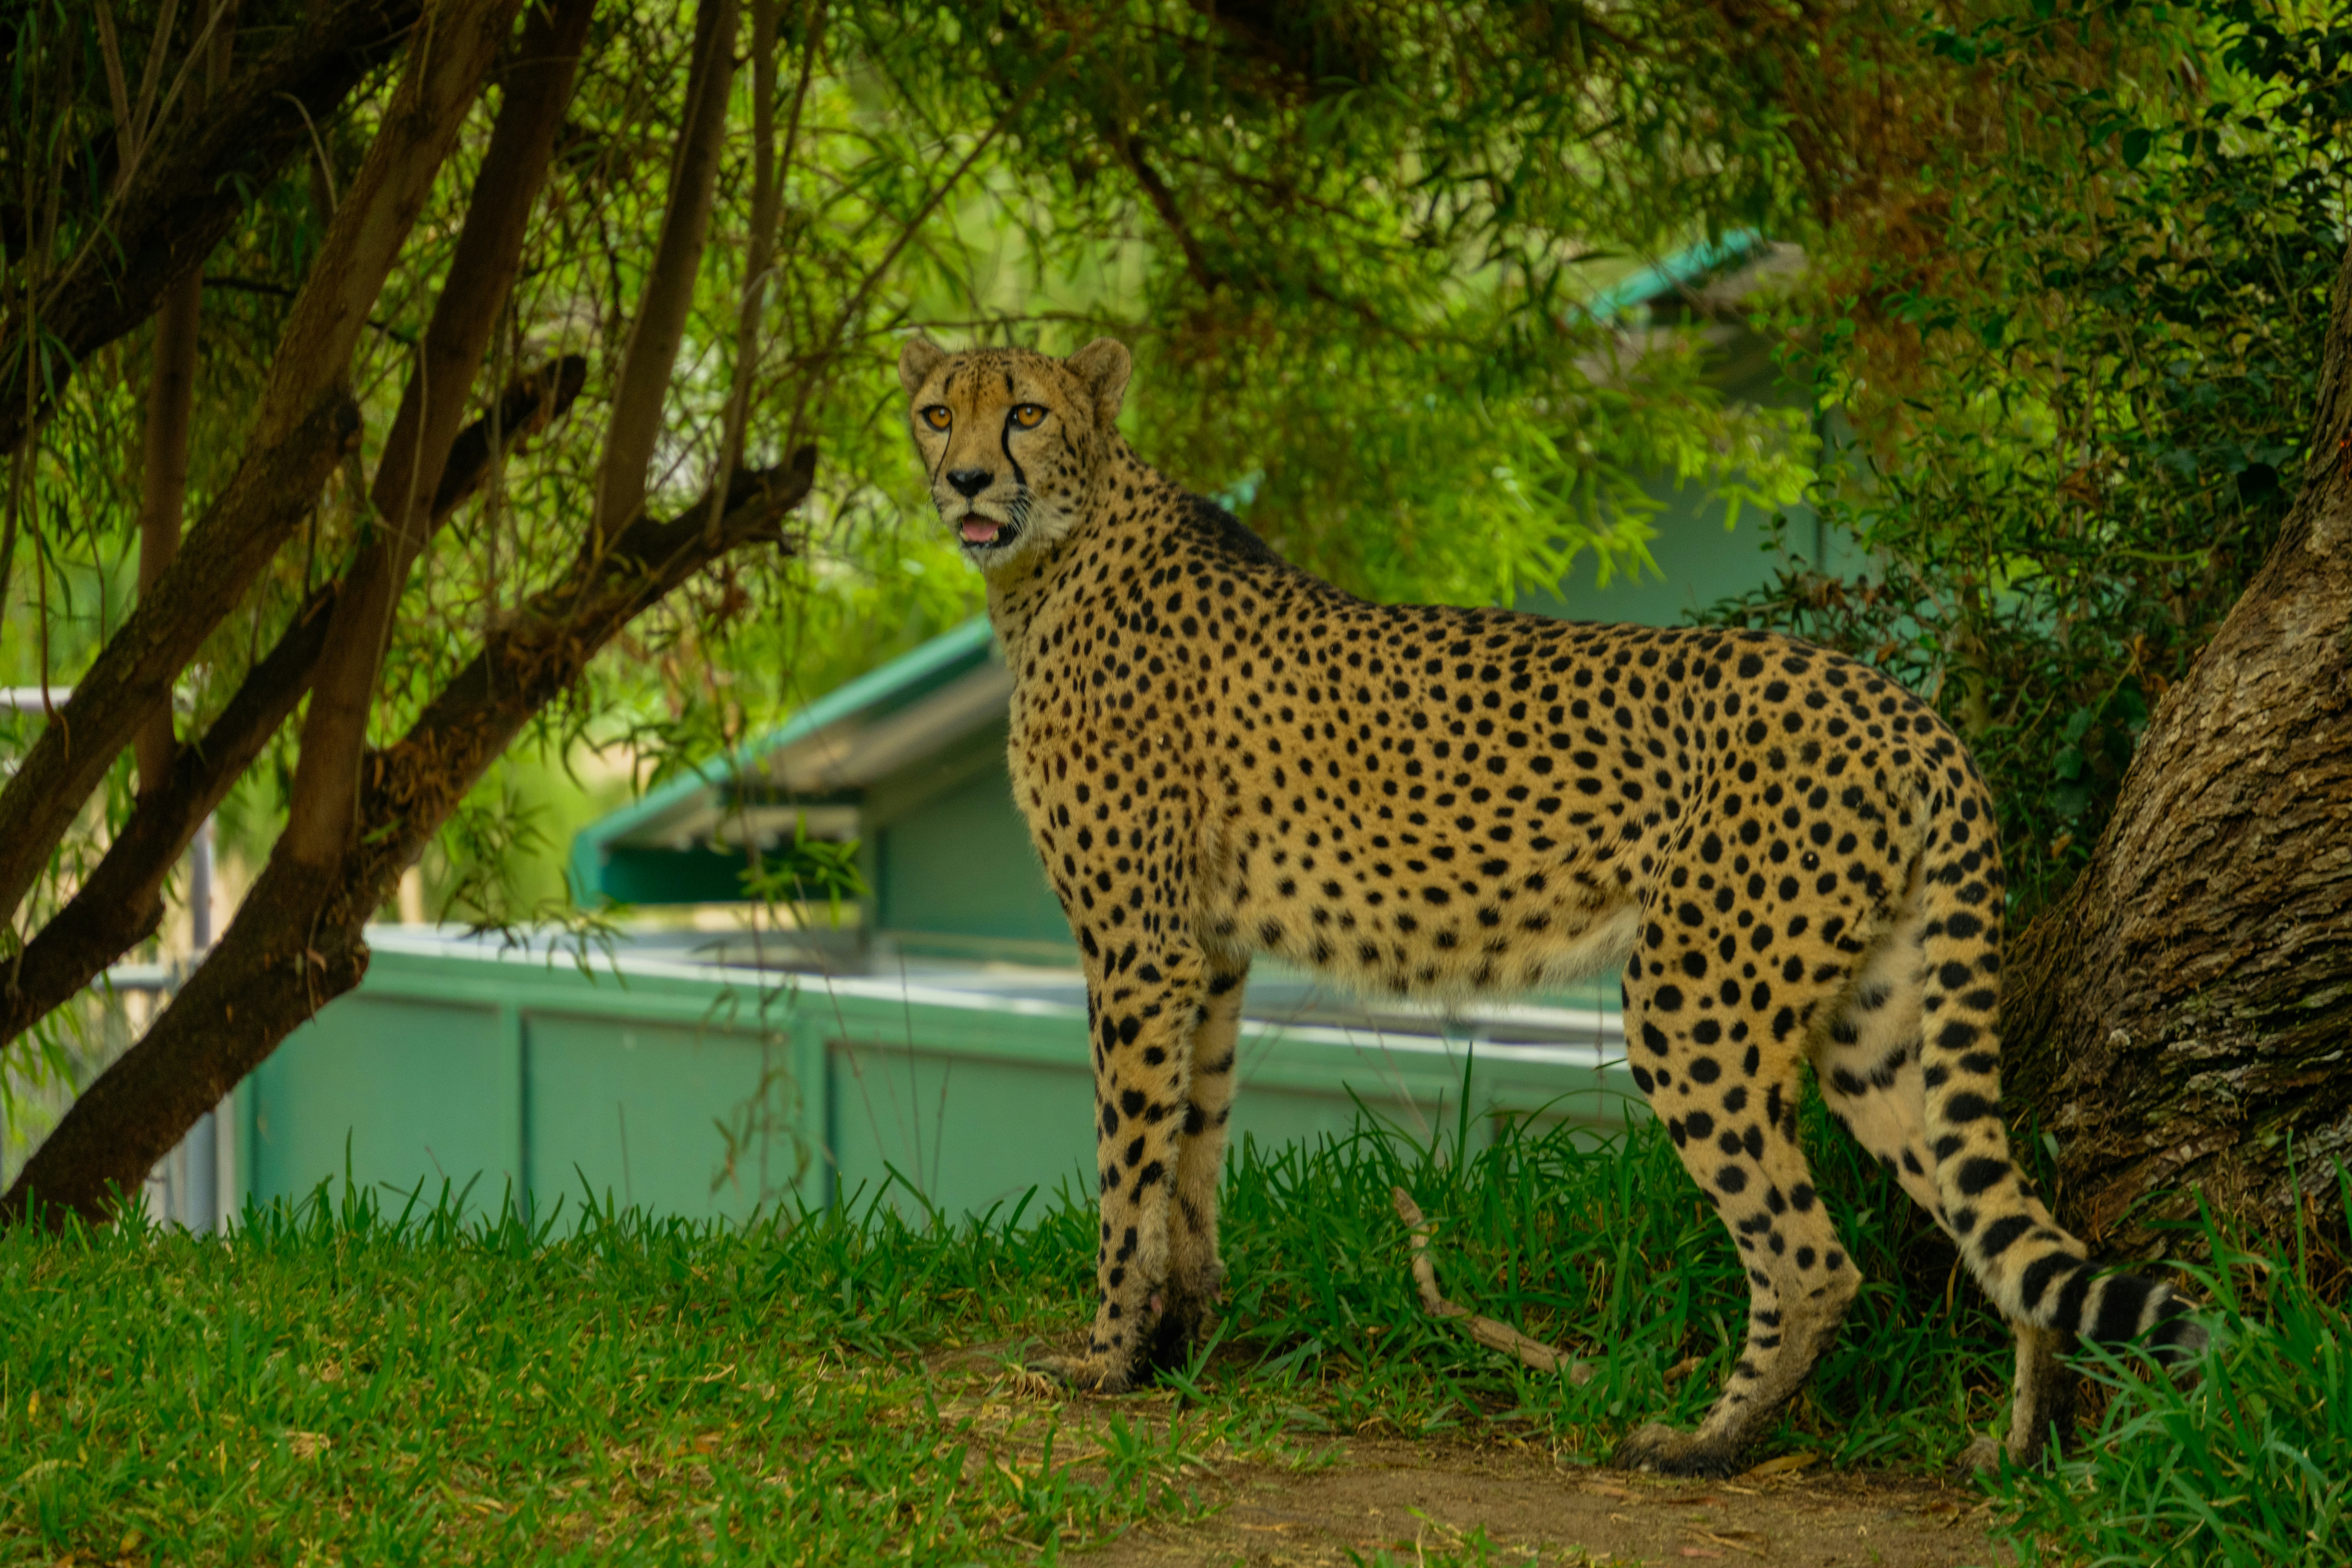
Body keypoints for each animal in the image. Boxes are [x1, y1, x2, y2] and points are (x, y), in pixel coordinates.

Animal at [896, 332, 2201, 1476]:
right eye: (937, 410)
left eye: (1025, 411)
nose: (965, 480)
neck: (1057, 555)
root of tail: (1899, 705)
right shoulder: (1206, 956)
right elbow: (1192, 1157)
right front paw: (1184, 1344)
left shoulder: (1137, 952)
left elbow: (1126, 1171)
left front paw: (1107, 1361)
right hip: (1874, 1026)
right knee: (2007, 1233)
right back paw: (2013, 1450)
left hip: (1692, 1000)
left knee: (1812, 1257)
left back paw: (1704, 1443)